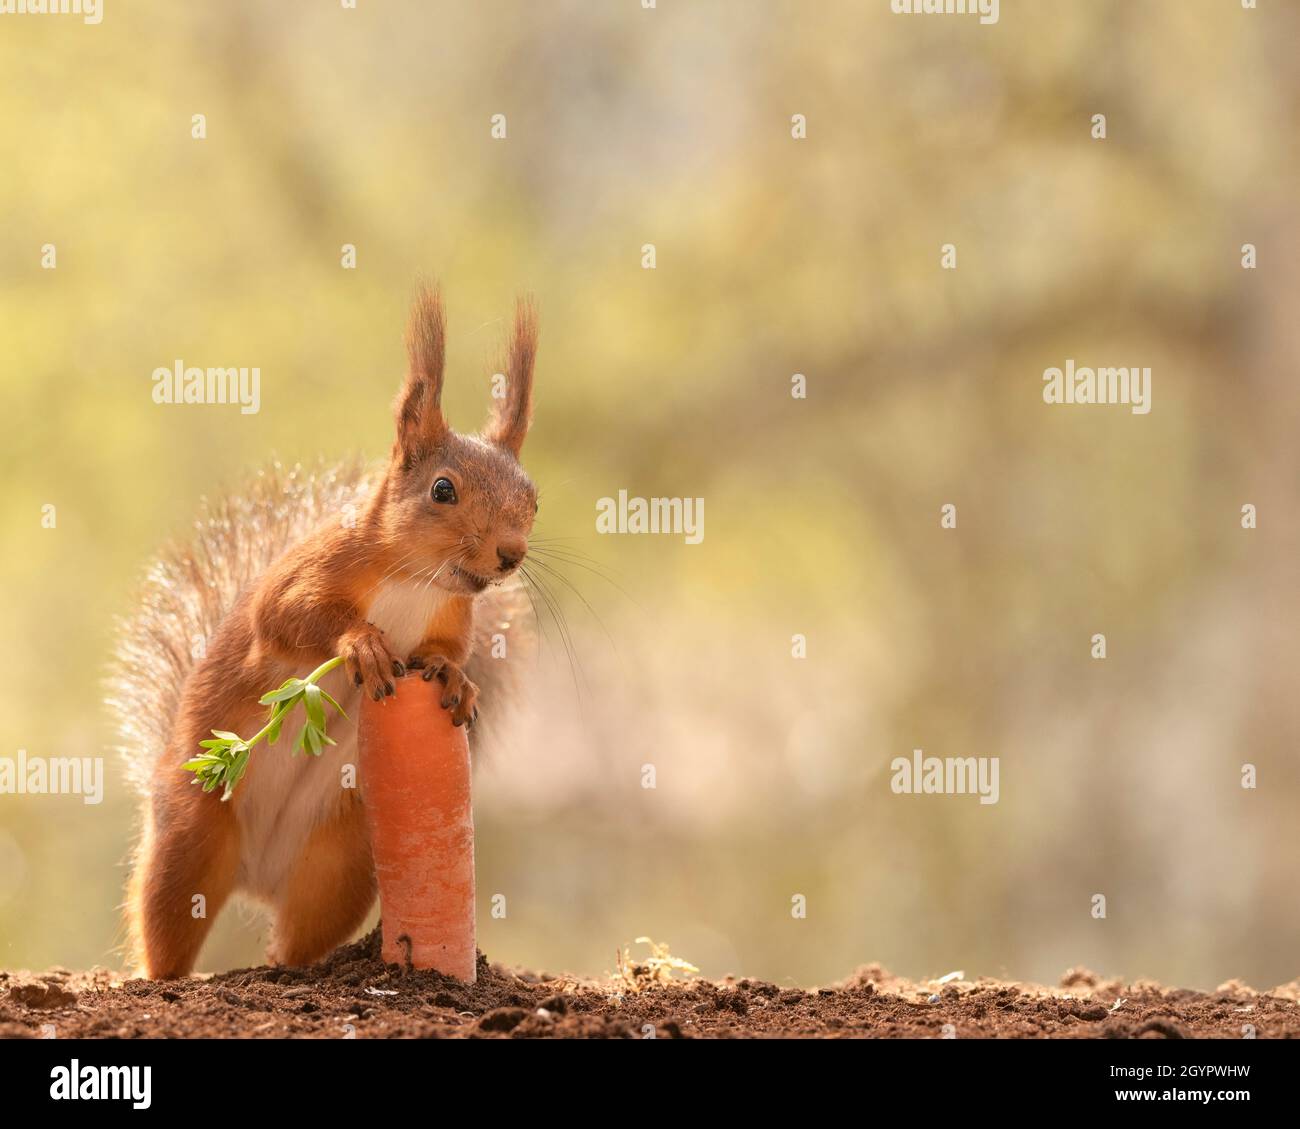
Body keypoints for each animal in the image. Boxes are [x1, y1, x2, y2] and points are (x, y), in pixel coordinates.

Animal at [107, 285, 539, 979]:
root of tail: (256, 876)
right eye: (443, 489)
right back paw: (160, 978)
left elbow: (449, 651)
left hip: (337, 865)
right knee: (167, 919)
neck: (417, 581)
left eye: (533, 497)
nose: (510, 554)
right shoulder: (310, 571)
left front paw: (454, 676)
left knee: (297, 937)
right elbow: (288, 618)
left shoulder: (453, 615)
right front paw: (361, 643)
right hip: (190, 838)